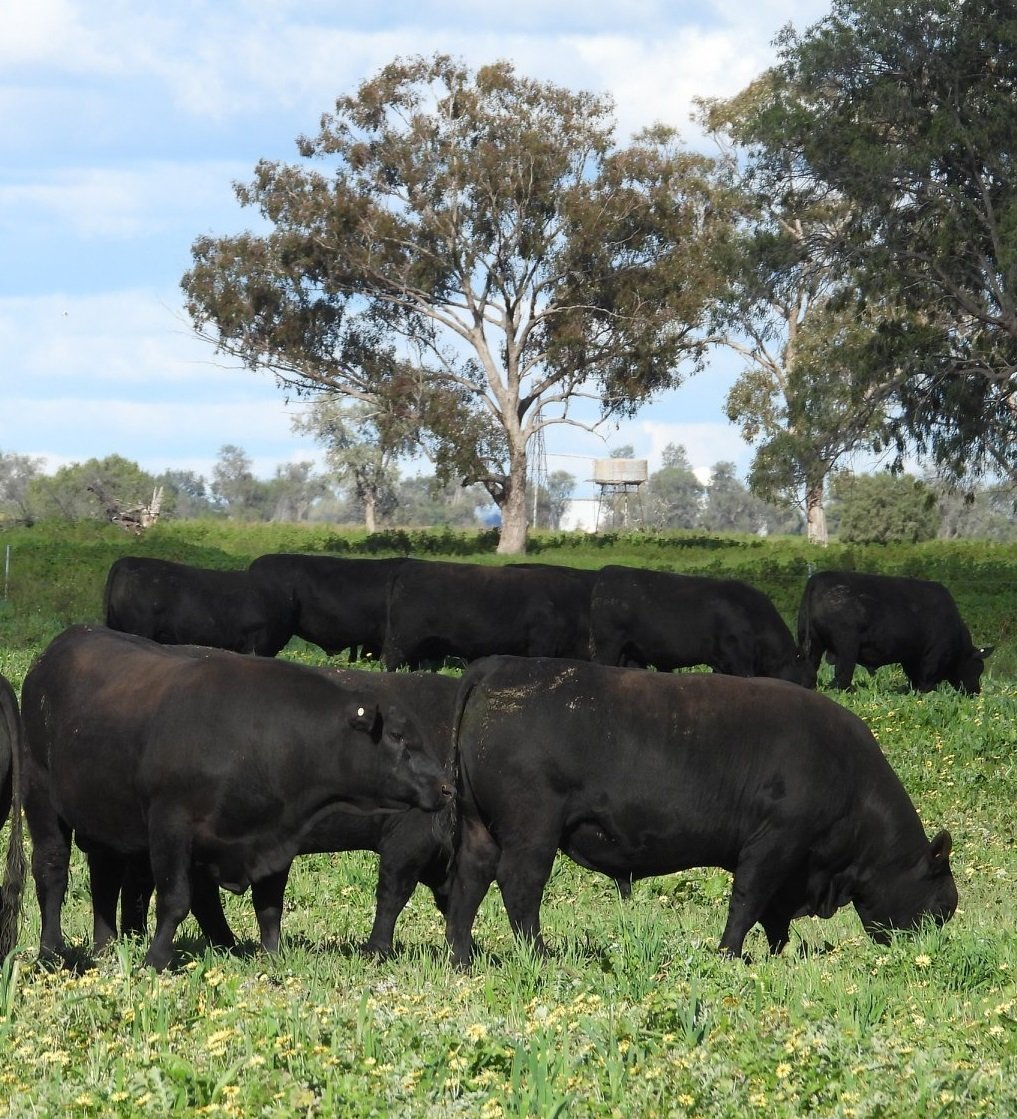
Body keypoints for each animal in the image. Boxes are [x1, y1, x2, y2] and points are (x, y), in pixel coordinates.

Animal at [445, 656, 957, 968]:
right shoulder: (774, 844)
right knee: (520, 886)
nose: (927, 952)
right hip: (533, 830)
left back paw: (463, 958)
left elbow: (773, 918)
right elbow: (748, 903)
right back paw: (540, 954)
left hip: (479, 827)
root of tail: (497, 666)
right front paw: (729, 954)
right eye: (941, 907)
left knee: (469, 882)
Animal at [590, 565, 815, 686]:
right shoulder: (740, 662)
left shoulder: (722, 664)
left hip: (631, 652)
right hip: (608, 645)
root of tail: (607, 573)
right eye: (806, 682)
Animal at [797, 570, 993, 693]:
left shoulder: (911, 658)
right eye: (978, 668)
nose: (976, 692)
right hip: (846, 646)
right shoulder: (933, 656)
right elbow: (926, 680)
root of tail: (817, 578)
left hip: (812, 644)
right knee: (843, 673)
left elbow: (915, 679)